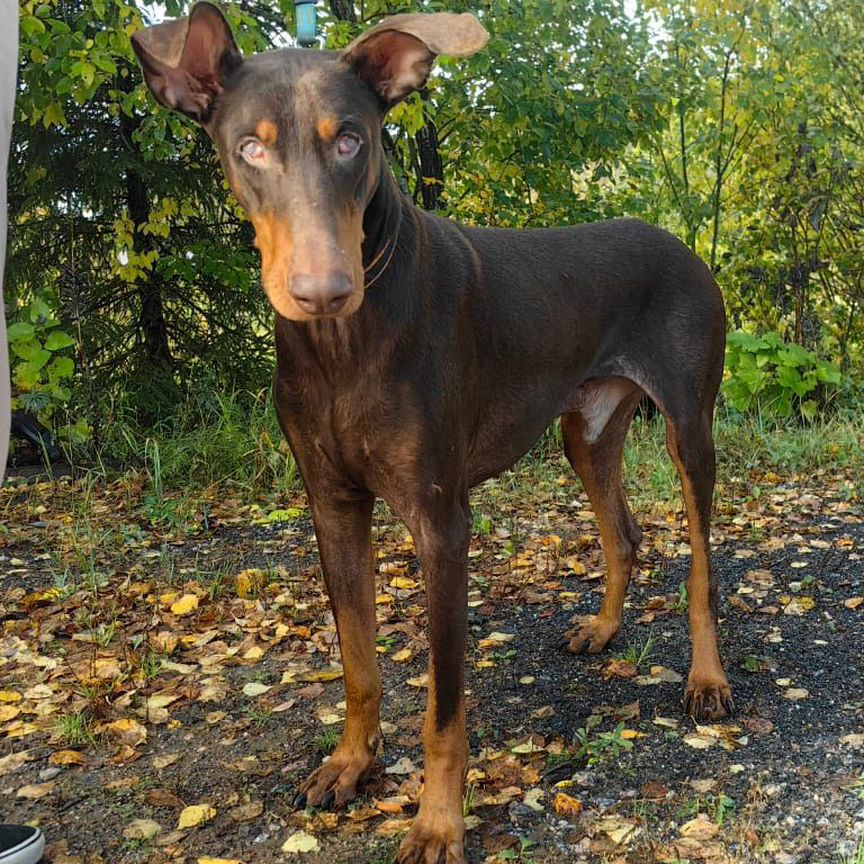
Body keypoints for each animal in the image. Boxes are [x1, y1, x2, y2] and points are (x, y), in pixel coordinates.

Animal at [132, 5, 732, 856]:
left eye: (351, 140)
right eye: (249, 146)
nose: (324, 291)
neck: (344, 347)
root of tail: (676, 241)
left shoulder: (441, 520)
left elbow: (445, 705)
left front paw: (439, 822)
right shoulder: (333, 506)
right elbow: (358, 663)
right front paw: (351, 764)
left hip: (689, 427)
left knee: (702, 570)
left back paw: (708, 680)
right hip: (585, 430)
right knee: (623, 534)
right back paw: (604, 627)